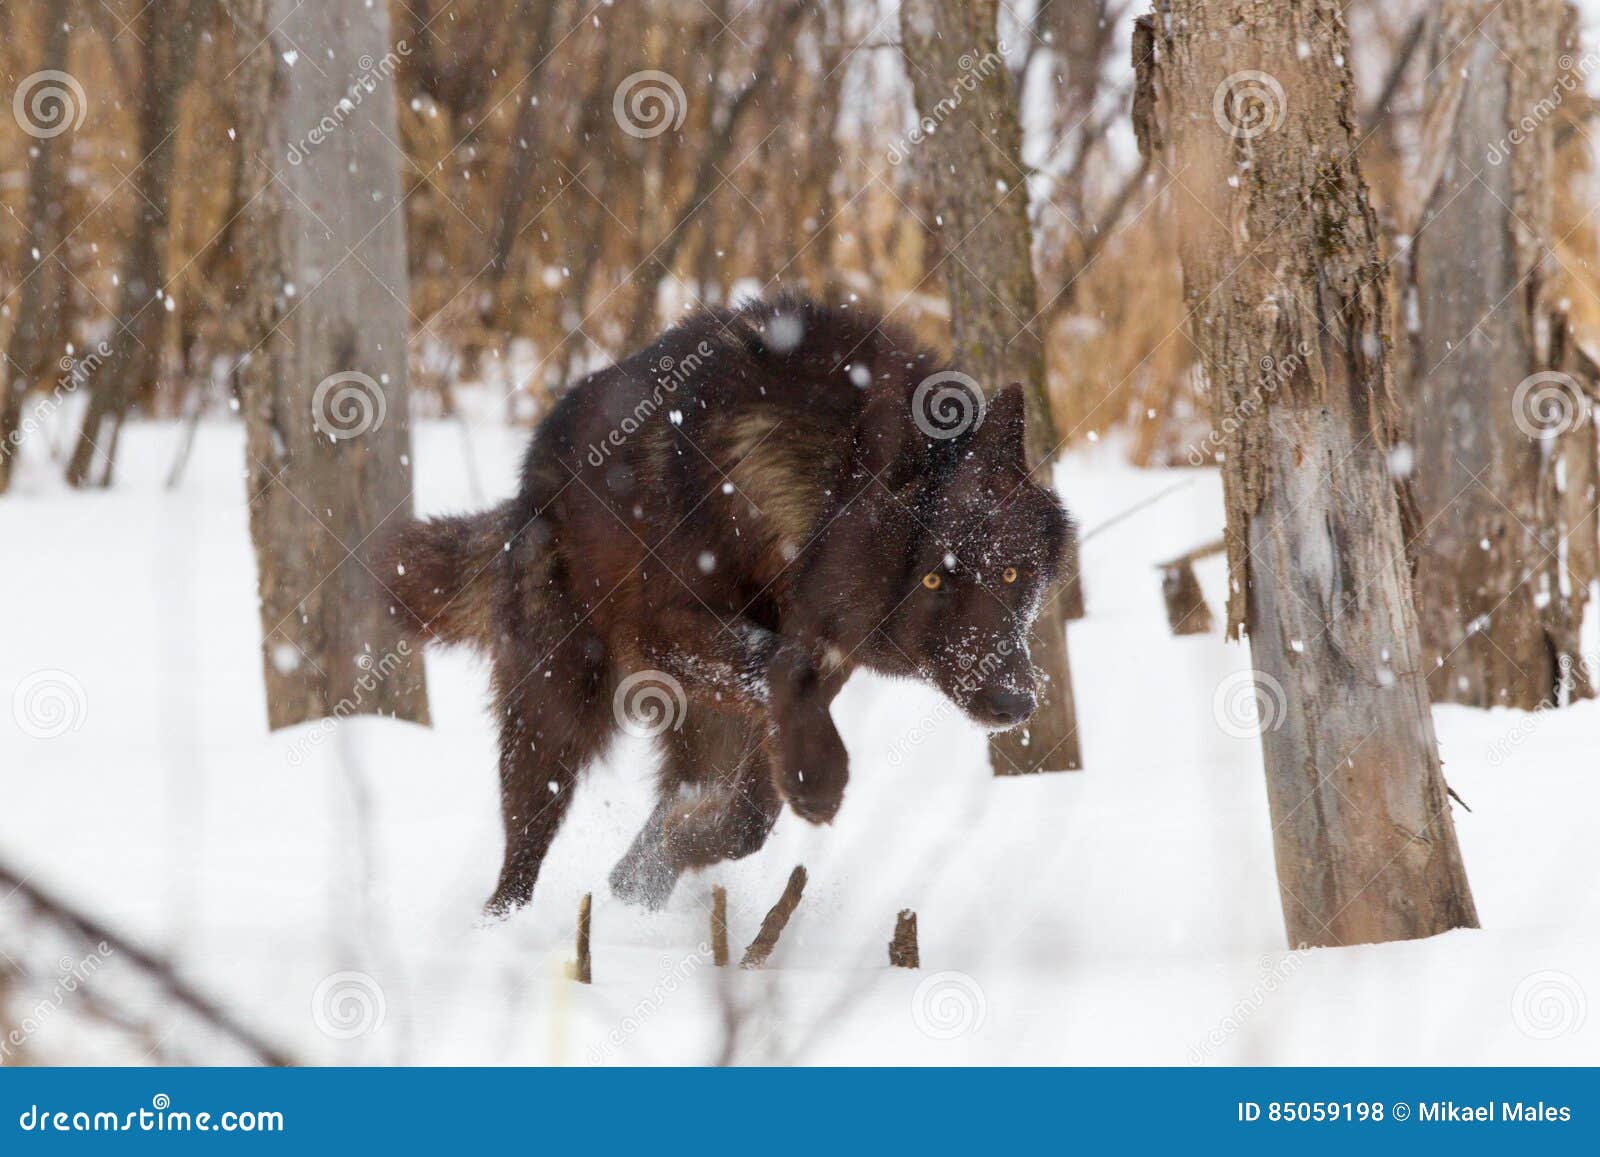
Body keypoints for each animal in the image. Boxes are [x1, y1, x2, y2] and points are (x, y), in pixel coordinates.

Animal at [379, 295, 1073, 915]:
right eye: (931, 582)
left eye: (1011, 572)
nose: (1014, 702)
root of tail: (524, 489)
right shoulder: (668, 634)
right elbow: (782, 679)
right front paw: (817, 778)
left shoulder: (820, 670)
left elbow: (749, 819)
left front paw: (676, 845)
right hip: (558, 708)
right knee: (524, 838)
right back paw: (503, 927)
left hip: (697, 726)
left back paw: (636, 890)